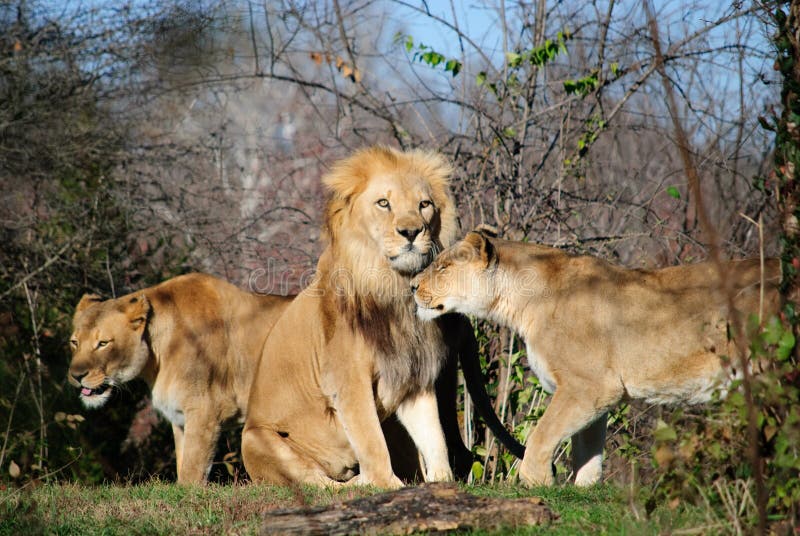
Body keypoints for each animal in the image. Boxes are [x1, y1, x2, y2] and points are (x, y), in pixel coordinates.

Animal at [68, 273, 293, 483]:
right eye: (74, 342)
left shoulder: (204, 411)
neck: (157, 358)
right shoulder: (179, 416)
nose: (76, 376)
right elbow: (182, 462)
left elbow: (191, 472)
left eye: (103, 343)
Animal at [242, 146, 521, 488]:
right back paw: (357, 483)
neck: (393, 288)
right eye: (383, 203)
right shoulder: (349, 380)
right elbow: (371, 441)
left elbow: (434, 438)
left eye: (424, 204)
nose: (411, 231)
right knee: (321, 484)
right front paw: (387, 485)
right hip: (254, 439)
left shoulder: (414, 377)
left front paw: (440, 483)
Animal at [411, 230, 782, 486]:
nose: (412, 286)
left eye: (442, 267)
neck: (520, 302)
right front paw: (582, 490)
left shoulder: (588, 386)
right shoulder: (597, 394)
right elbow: (587, 452)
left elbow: (542, 435)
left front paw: (536, 483)